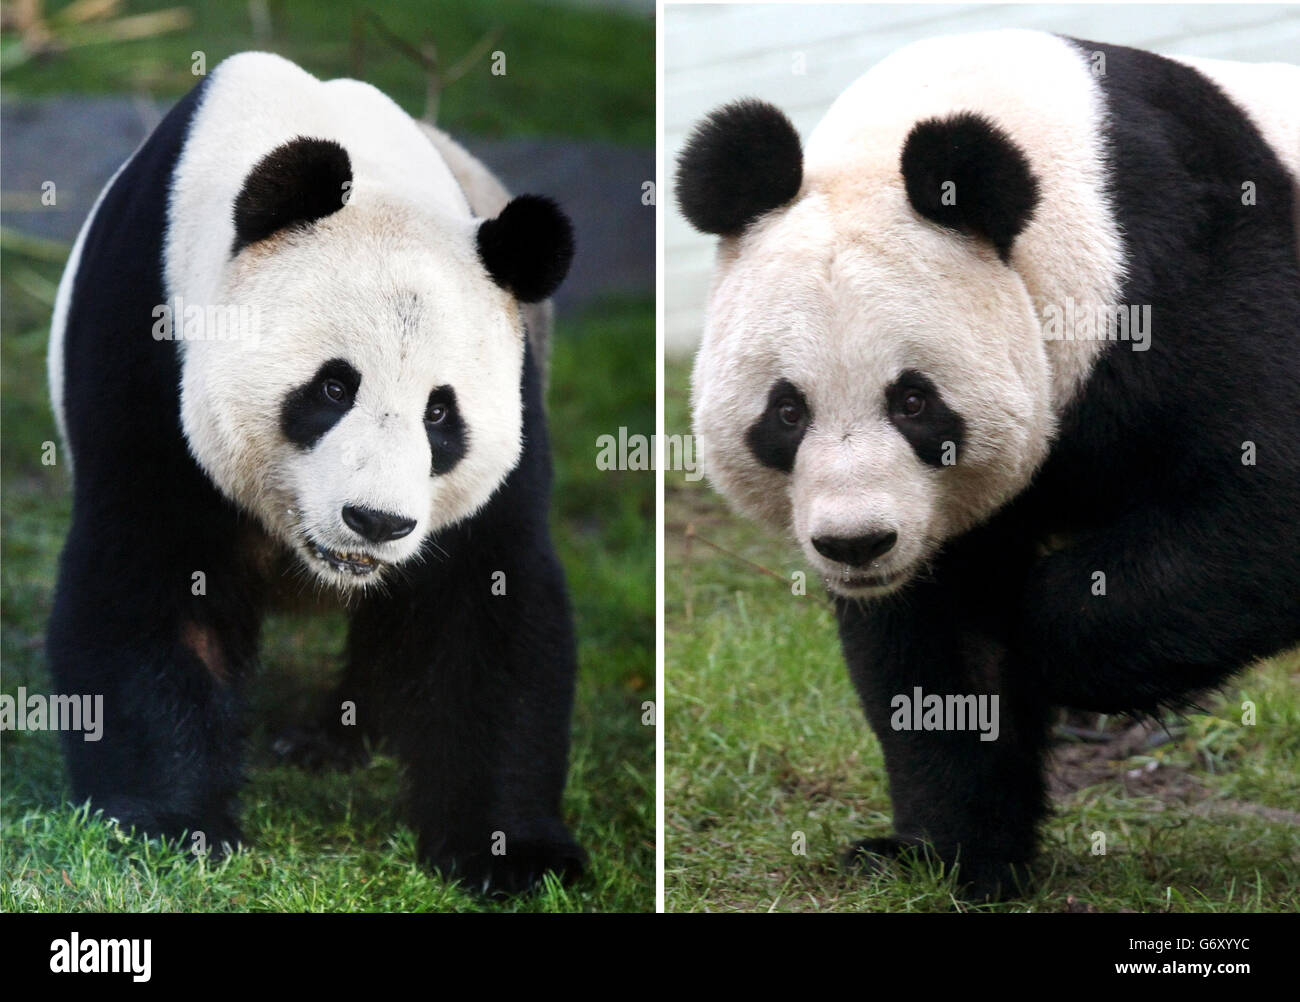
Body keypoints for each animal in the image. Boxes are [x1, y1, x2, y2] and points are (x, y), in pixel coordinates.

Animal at [47, 52, 584, 895]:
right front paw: (171, 825)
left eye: (441, 414)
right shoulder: (145, 337)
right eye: (333, 389)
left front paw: (513, 854)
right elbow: (148, 579)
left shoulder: (513, 394)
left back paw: (331, 740)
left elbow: (488, 602)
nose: (377, 522)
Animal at [676, 29, 1300, 899]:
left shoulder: (1193, 267)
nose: (856, 545)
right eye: (787, 413)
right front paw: (946, 855)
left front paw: (1048, 655)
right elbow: (931, 648)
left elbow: (1263, 504)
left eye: (913, 401)